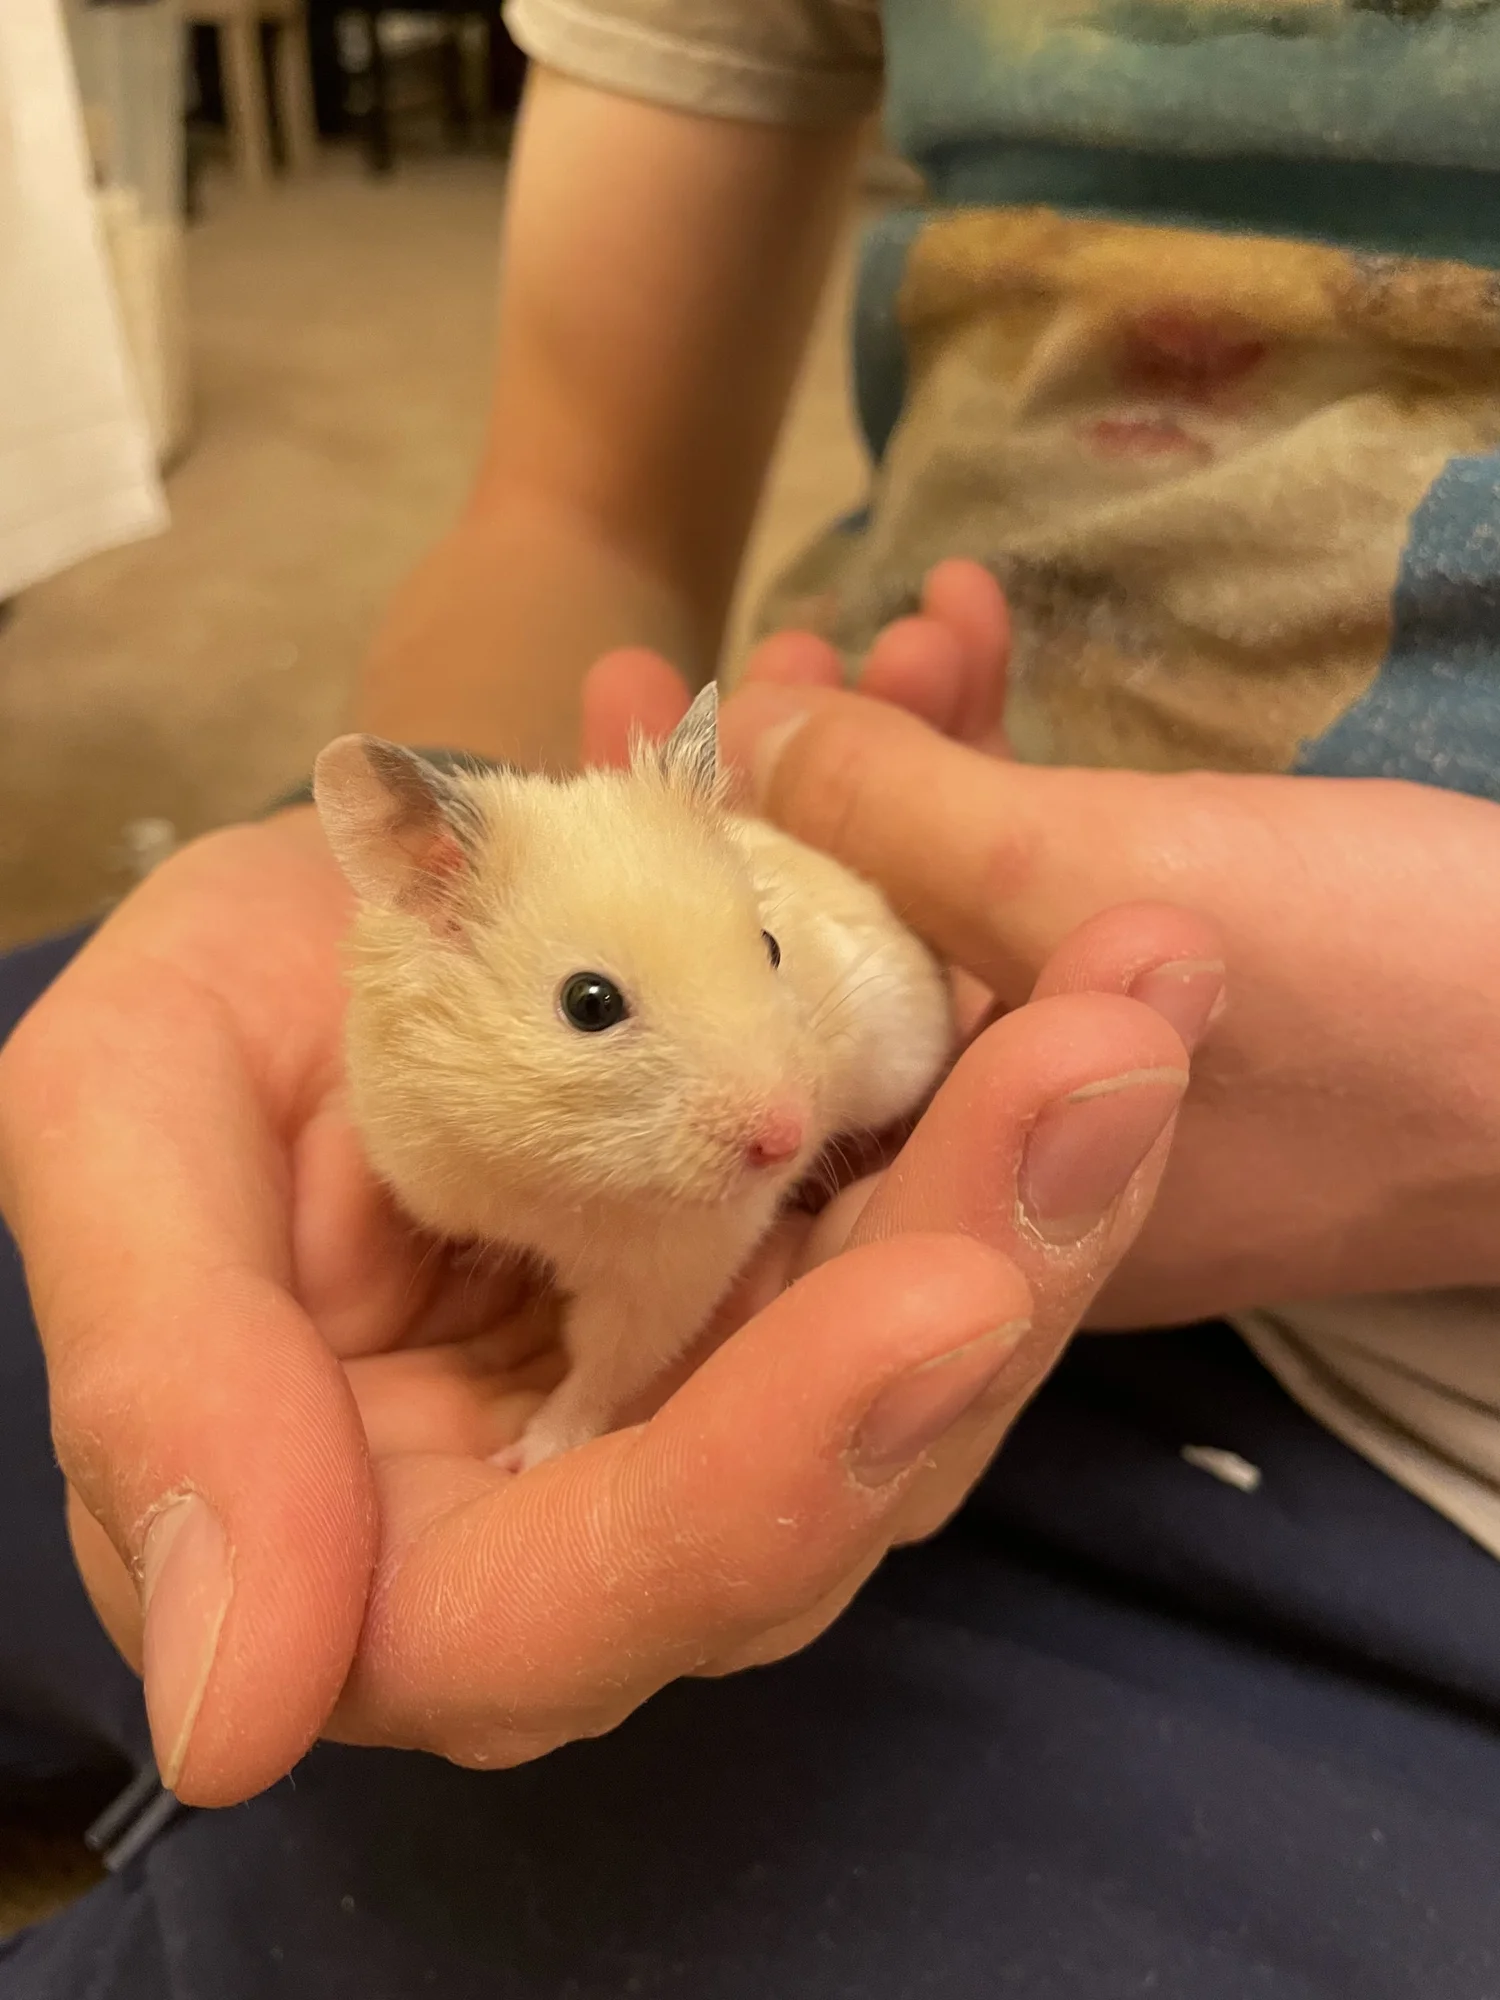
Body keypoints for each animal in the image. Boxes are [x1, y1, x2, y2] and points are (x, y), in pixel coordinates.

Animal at [313, 684, 955, 1473]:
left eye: (770, 946)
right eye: (590, 1003)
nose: (787, 1140)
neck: (560, 1174)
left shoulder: (671, 1271)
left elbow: (603, 1364)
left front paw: (527, 1455)